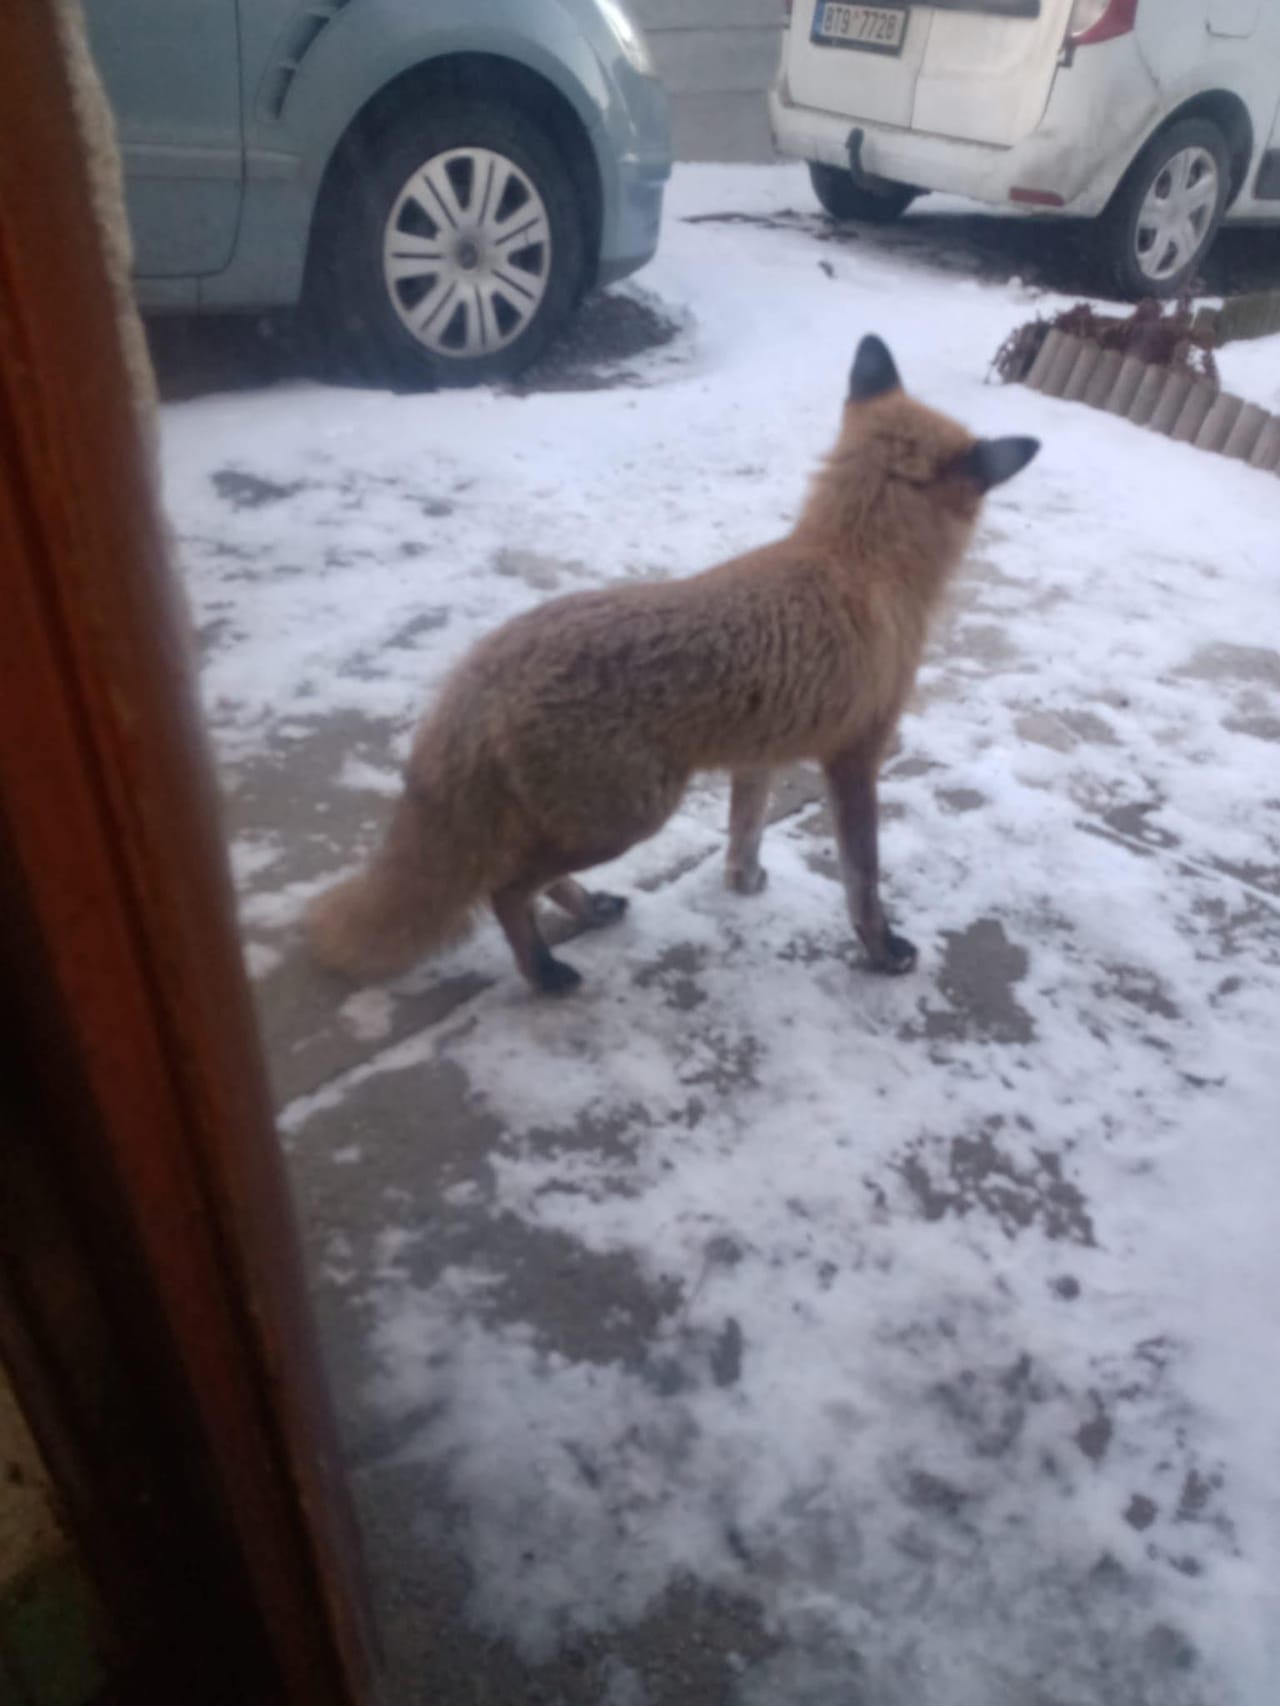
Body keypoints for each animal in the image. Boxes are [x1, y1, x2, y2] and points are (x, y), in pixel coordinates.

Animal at [306, 335, 1039, 996]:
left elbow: (745, 833)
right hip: (630, 817)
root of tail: (484, 667)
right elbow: (863, 877)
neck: (854, 557)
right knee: (504, 888)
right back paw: (543, 972)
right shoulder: (855, 755)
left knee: (514, 876)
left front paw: (744, 885)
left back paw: (586, 912)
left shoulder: (759, 752)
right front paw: (881, 950)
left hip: (582, 819)